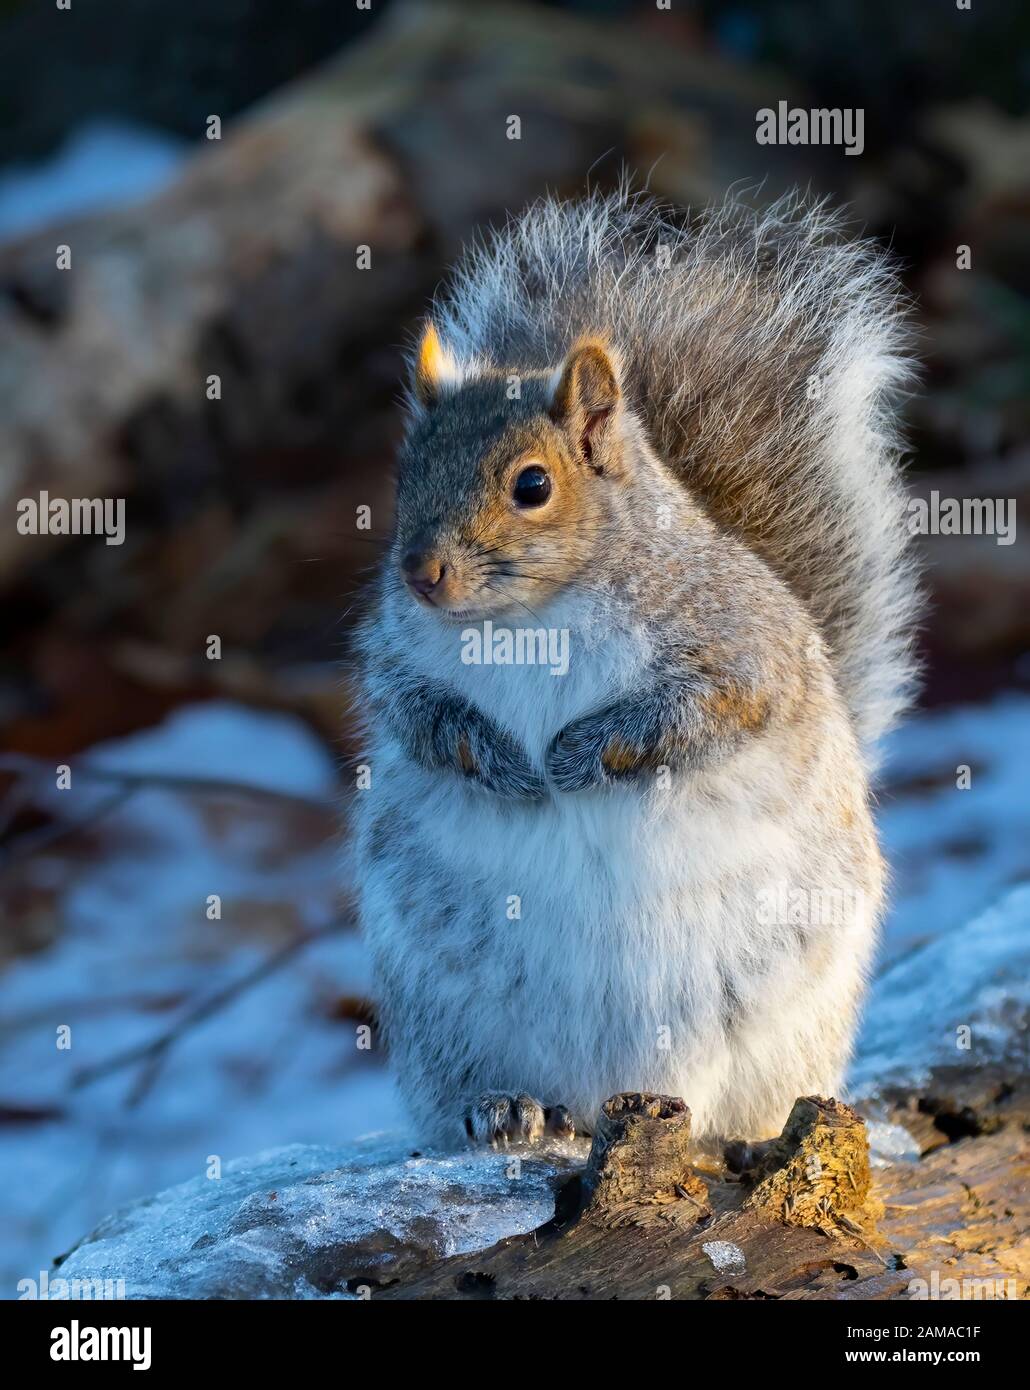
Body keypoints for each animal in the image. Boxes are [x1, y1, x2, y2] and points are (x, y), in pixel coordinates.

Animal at [351, 188, 920, 1148]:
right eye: (405, 479)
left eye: (533, 486)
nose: (423, 574)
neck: (527, 622)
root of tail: (613, 1093)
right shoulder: (394, 659)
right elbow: (417, 716)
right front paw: (500, 761)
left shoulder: (740, 648)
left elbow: (699, 714)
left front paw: (577, 754)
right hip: (449, 1018)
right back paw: (503, 1108)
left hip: (779, 1020)